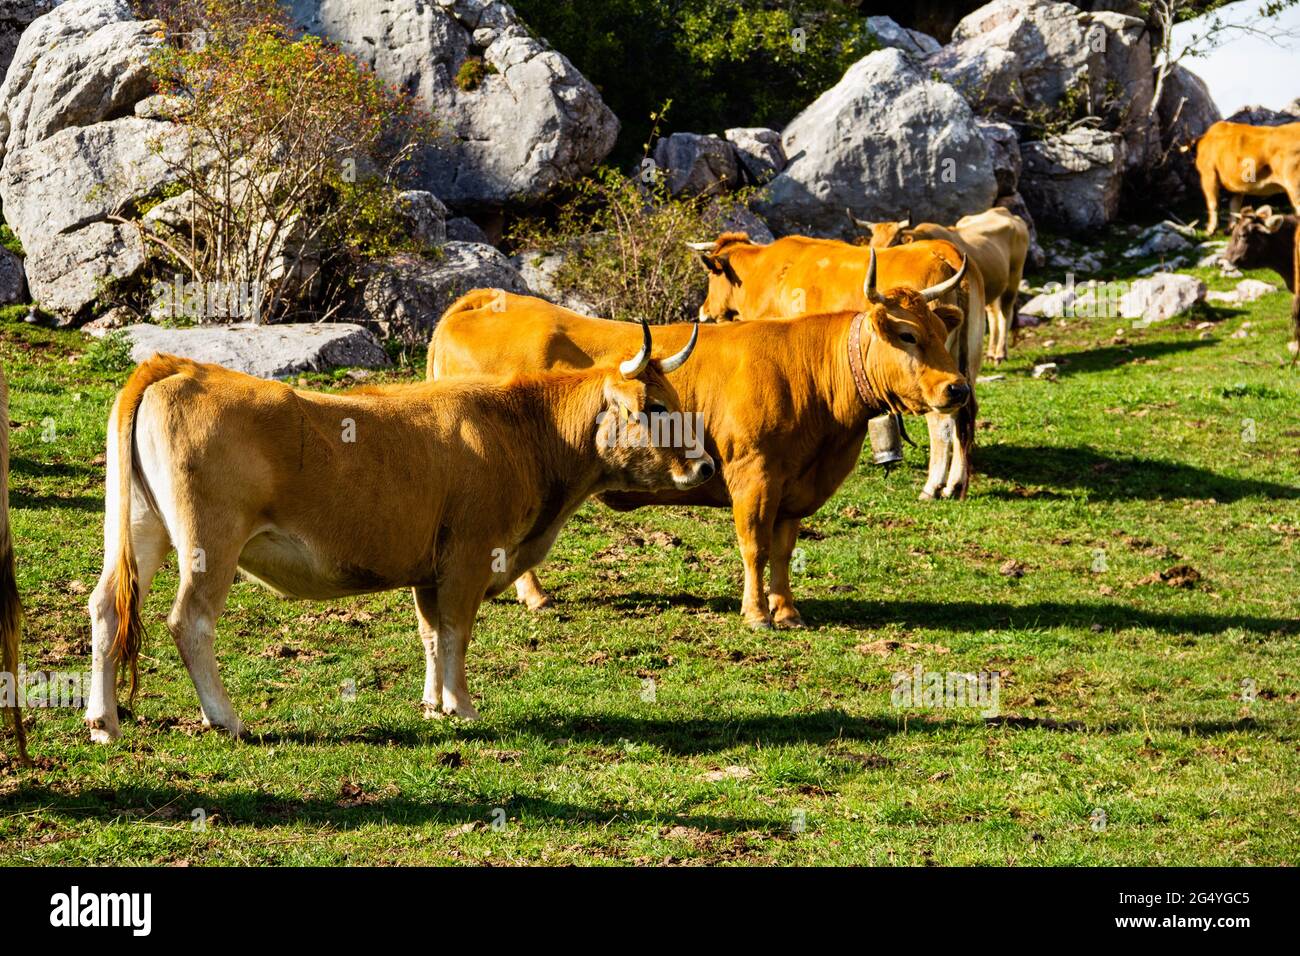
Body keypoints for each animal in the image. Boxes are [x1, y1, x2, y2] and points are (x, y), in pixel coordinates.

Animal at [84, 332, 711, 740]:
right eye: (656, 408)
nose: (704, 468)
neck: (522, 431)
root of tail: (180, 366)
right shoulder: (469, 557)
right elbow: (456, 632)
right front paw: (462, 706)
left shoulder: (428, 568)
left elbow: (432, 634)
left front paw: (433, 705)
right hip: (209, 542)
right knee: (189, 620)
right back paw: (226, 718)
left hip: (140, 528)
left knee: (107, 607)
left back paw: (104, 722)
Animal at [430, 252, 971, 629]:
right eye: (907, 335)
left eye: (940, 329)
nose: (957, 388)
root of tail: (485, 300)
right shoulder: (754, 475)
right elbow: (754, 546)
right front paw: (757, 614)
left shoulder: (793, 490)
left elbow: (782, 551)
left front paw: (788, 611)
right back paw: (534, 594)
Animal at [684, 230, 984, 501]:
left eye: (711, 276)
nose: (703, 311)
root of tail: (944, 251)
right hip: (963, 367)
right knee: (965, 416)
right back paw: (956, 484)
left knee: (943, 422)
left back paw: (933, 486)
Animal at [852, 207, 1029, 365]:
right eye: (873, 242)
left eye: (894, 241)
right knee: (993, 316)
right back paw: (991, 353)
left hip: (1013, 281)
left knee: (1005, 314)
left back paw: (1000, 354)